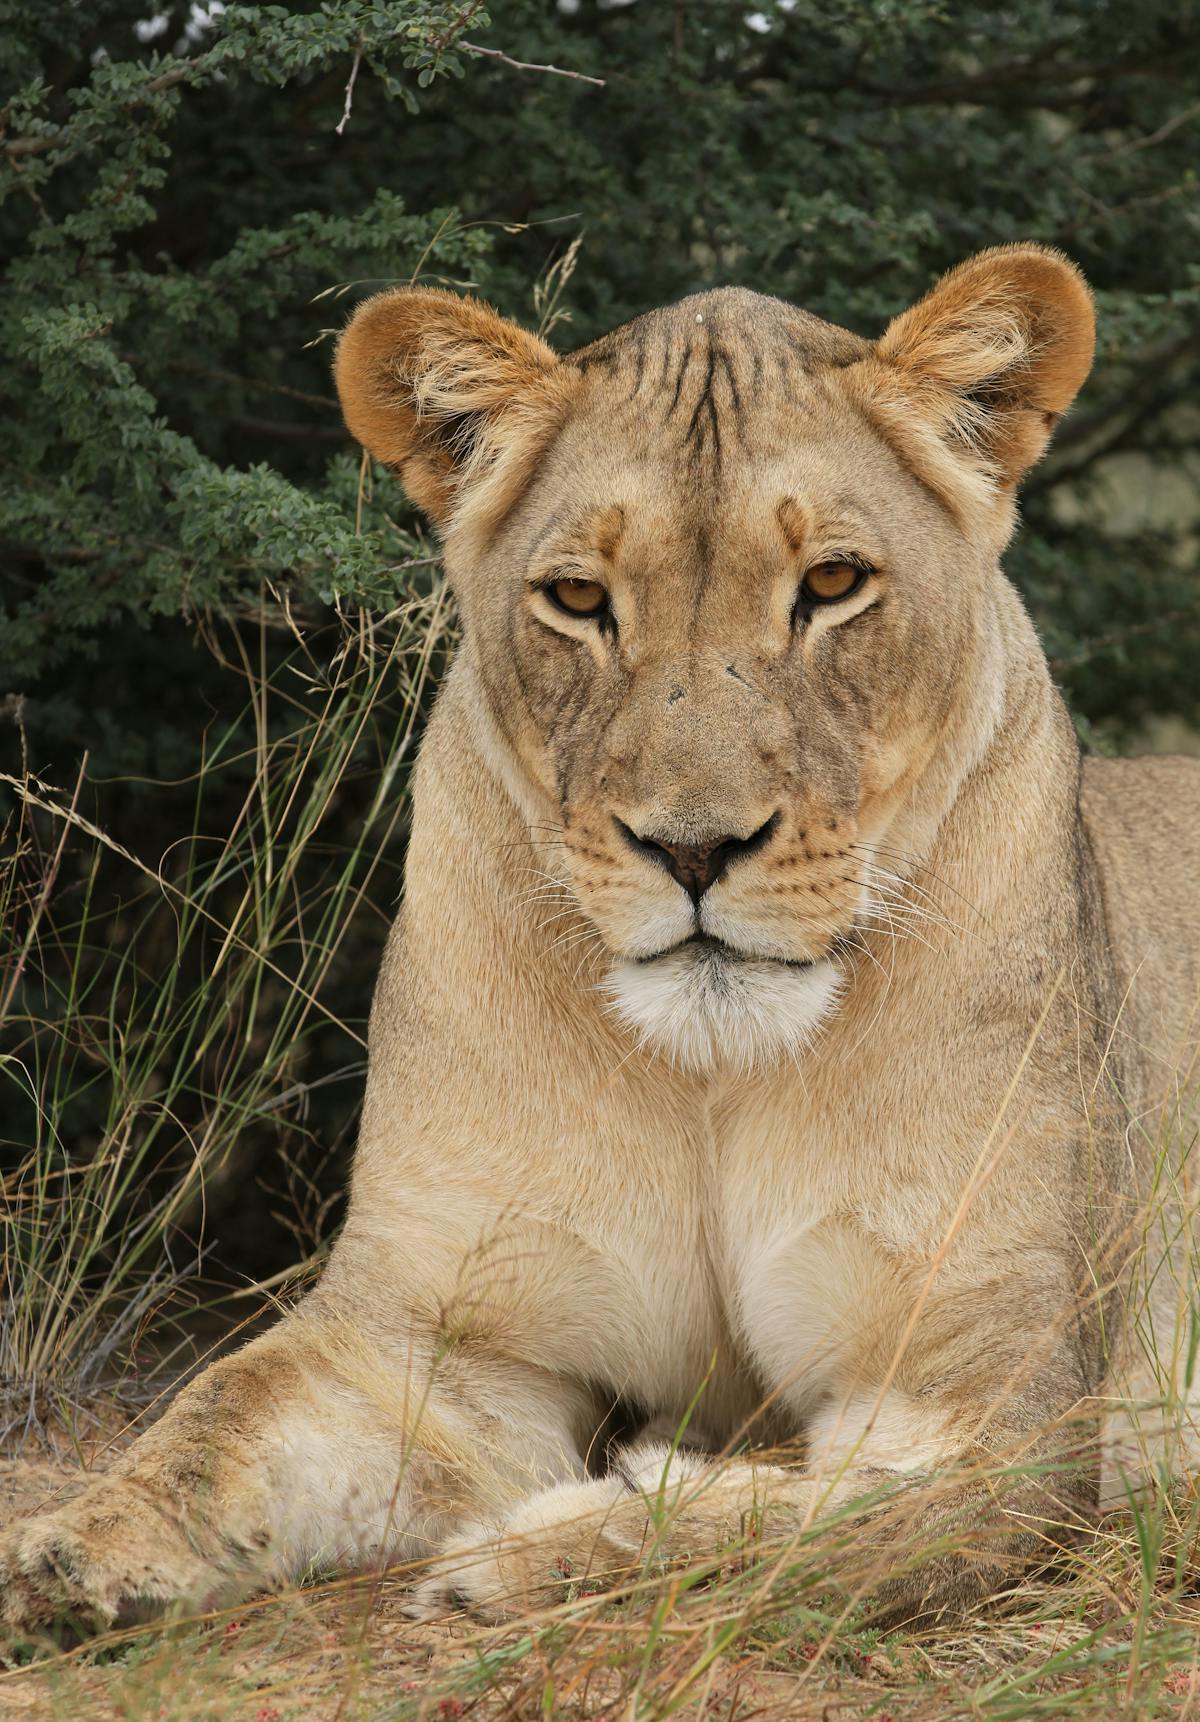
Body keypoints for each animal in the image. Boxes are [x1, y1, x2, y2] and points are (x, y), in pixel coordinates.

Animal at [3, 245, 1199, 1636]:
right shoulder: (433, 1330)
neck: (713, 1079)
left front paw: (529, 1551)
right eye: (579, 599)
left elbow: (769, 1535)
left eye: (833, 585)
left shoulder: (1001, 1407)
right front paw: (65, 1550)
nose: (693, 849)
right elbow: (221, 1417)